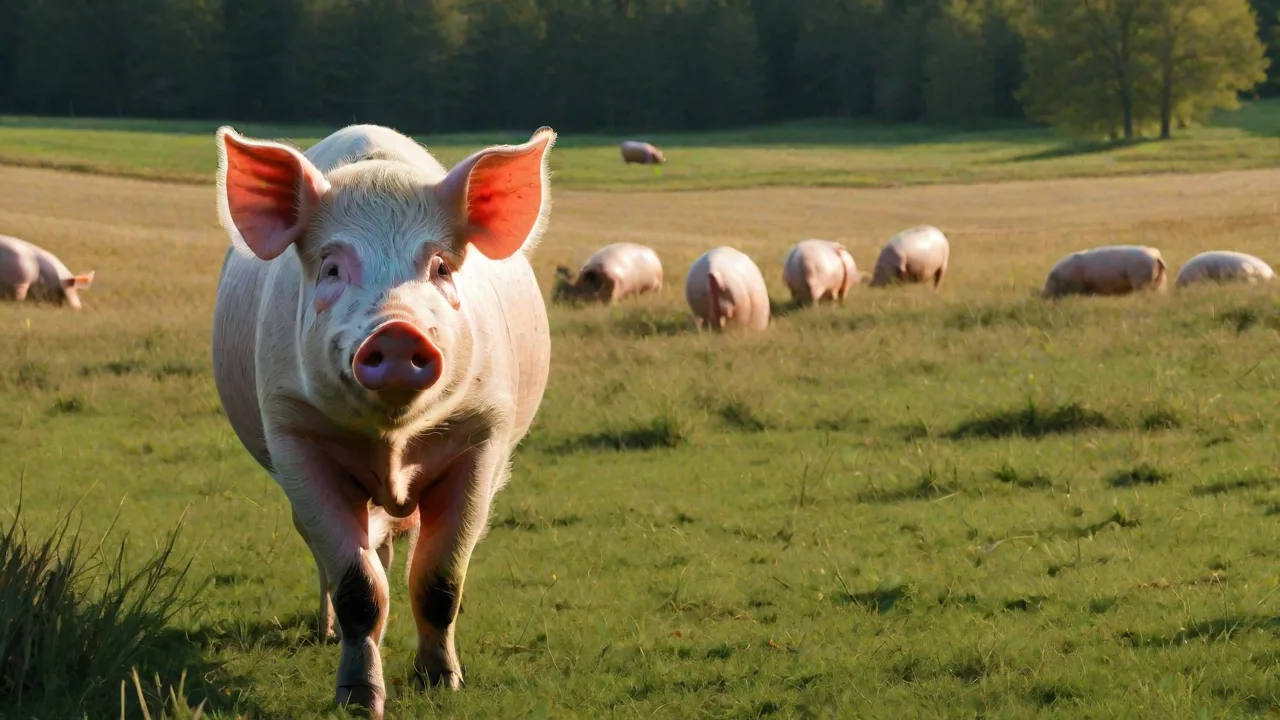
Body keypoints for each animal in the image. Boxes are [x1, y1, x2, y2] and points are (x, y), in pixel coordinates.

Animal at [210, 123, 556, 719]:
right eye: (331, 267)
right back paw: (324, 633)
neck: (391, 441)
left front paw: (443, 683)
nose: (396, 330)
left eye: (440, 266)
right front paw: (359, 701)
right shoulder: (294, 432)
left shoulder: (482, 434)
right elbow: (357, 588)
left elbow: (441, 580)